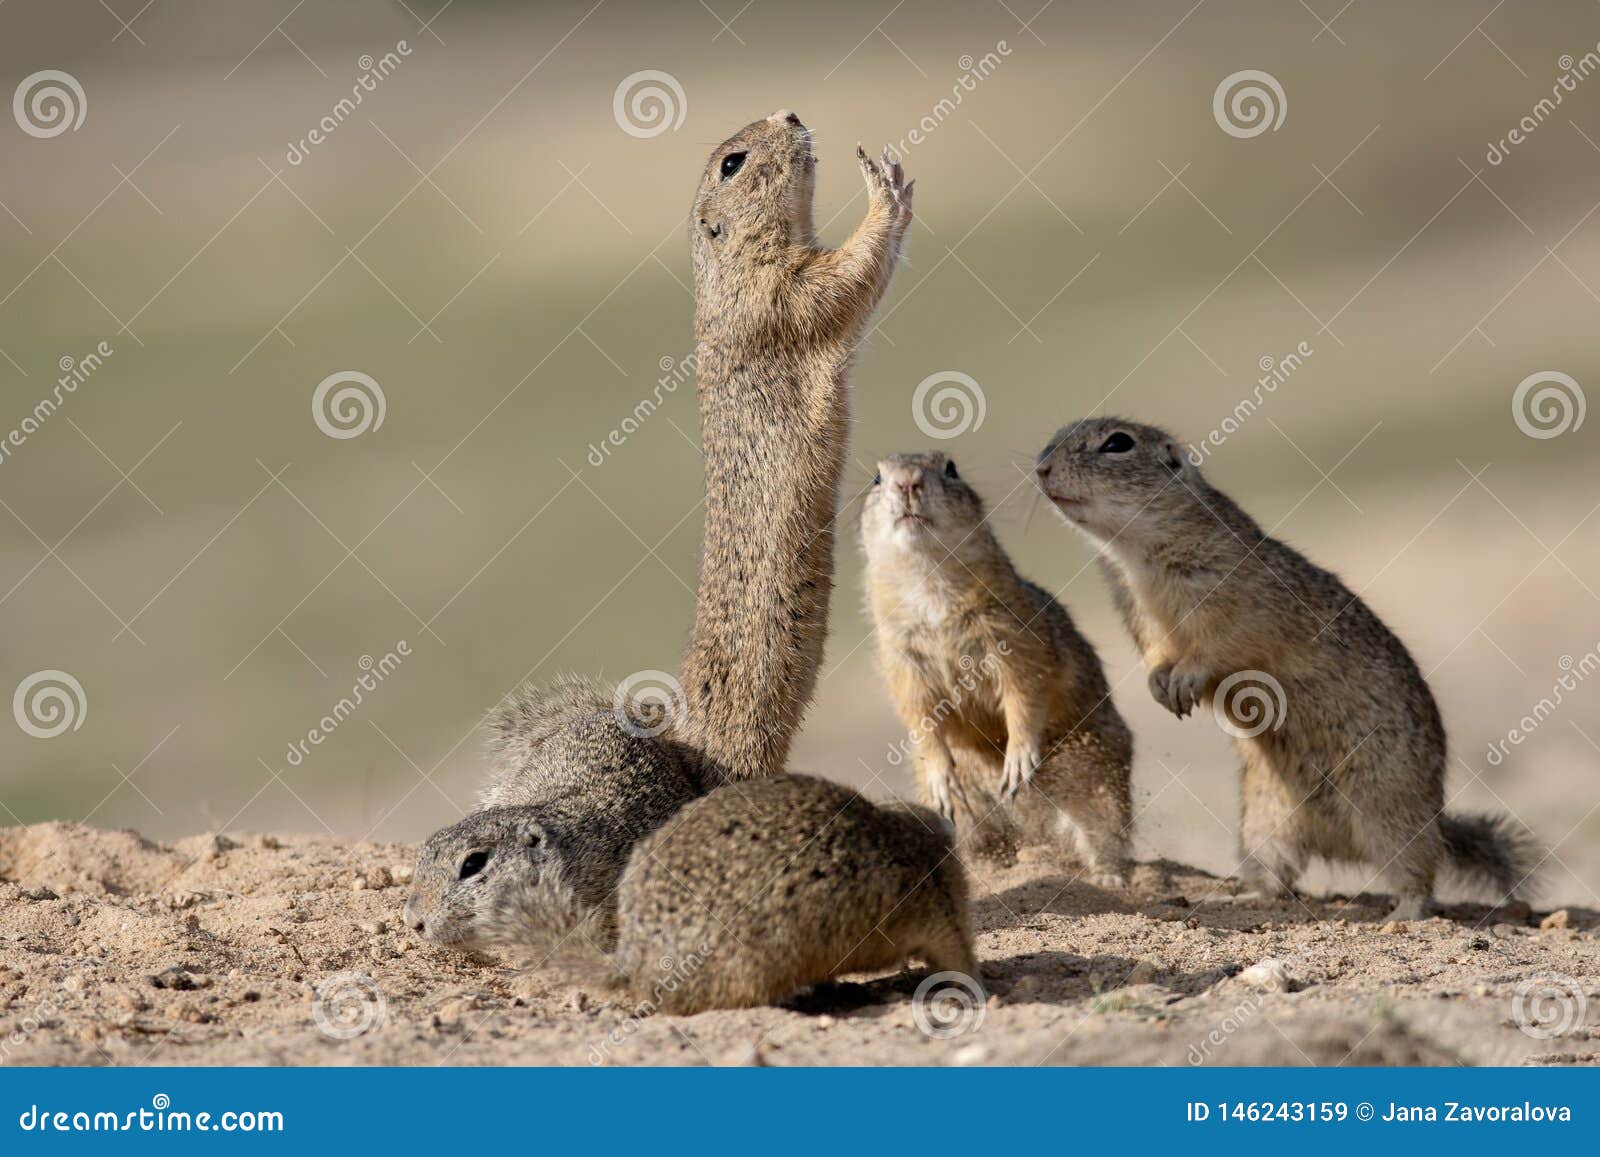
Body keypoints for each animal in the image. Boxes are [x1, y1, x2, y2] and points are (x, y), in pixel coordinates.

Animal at [406, 113, 913, 950]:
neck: (728, 263)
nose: (793, 115)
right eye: (733, 162)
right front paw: (887, 190)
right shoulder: (787, 292)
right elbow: (848, 276)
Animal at [860, 451, 1134, 886]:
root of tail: (1031, 829)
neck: (928, 579)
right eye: (876, 477)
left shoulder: (1011, 638)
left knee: (1104, 836)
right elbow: (919, 713)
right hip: (973, 820)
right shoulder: (900, 657)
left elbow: (1024, 692)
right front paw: (941, 778)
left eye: (951, 468)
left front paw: (1018, 762)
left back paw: (1108, 877)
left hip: (1099, 784)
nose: (907, 482)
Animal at [1033, 417, 1541, 920]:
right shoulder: (1134, 609)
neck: (1135, 556)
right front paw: (1161, 685)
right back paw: (1238, 895)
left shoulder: (1240, 599)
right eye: (1053, 437)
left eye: (1117, 443)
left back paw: (1403, 914)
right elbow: (1155, 651)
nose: (1041, 468)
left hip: (1390, 806)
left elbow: (1224, 644)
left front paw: (1187, 678)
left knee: (1419, 869)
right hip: (1265, 824)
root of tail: (1339, 842)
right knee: (1277, 880)